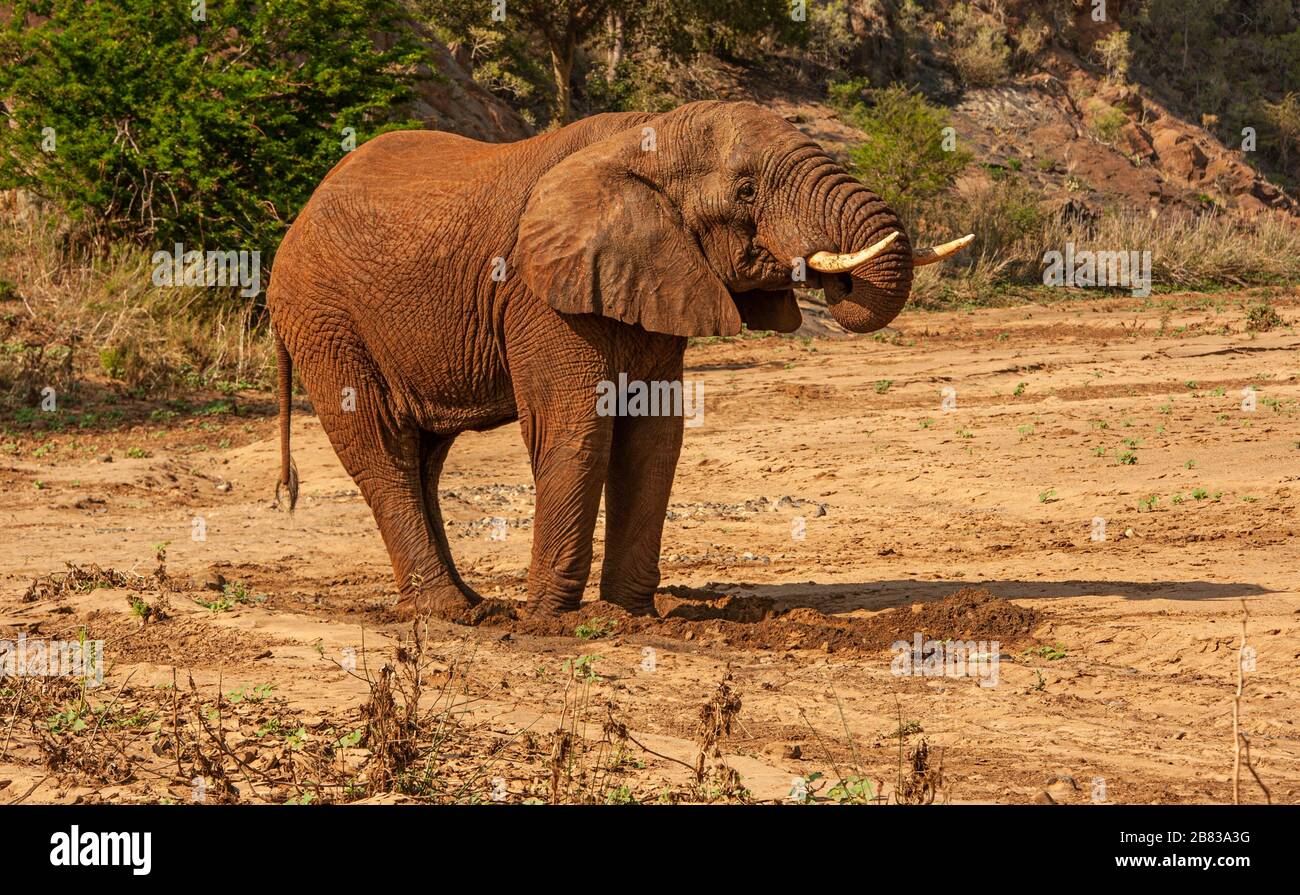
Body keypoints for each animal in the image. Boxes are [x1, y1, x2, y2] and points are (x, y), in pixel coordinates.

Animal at [266, 101, 970, 620]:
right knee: (381, 447)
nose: (835, 280)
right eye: (745, 190)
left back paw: (474, 604)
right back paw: (452, 612)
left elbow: (656, 436)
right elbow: (578, 426)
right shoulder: (539, 290)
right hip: (326, 320)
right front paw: (551, 619)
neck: (641, 139)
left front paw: (631, 615)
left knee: (425, 456)